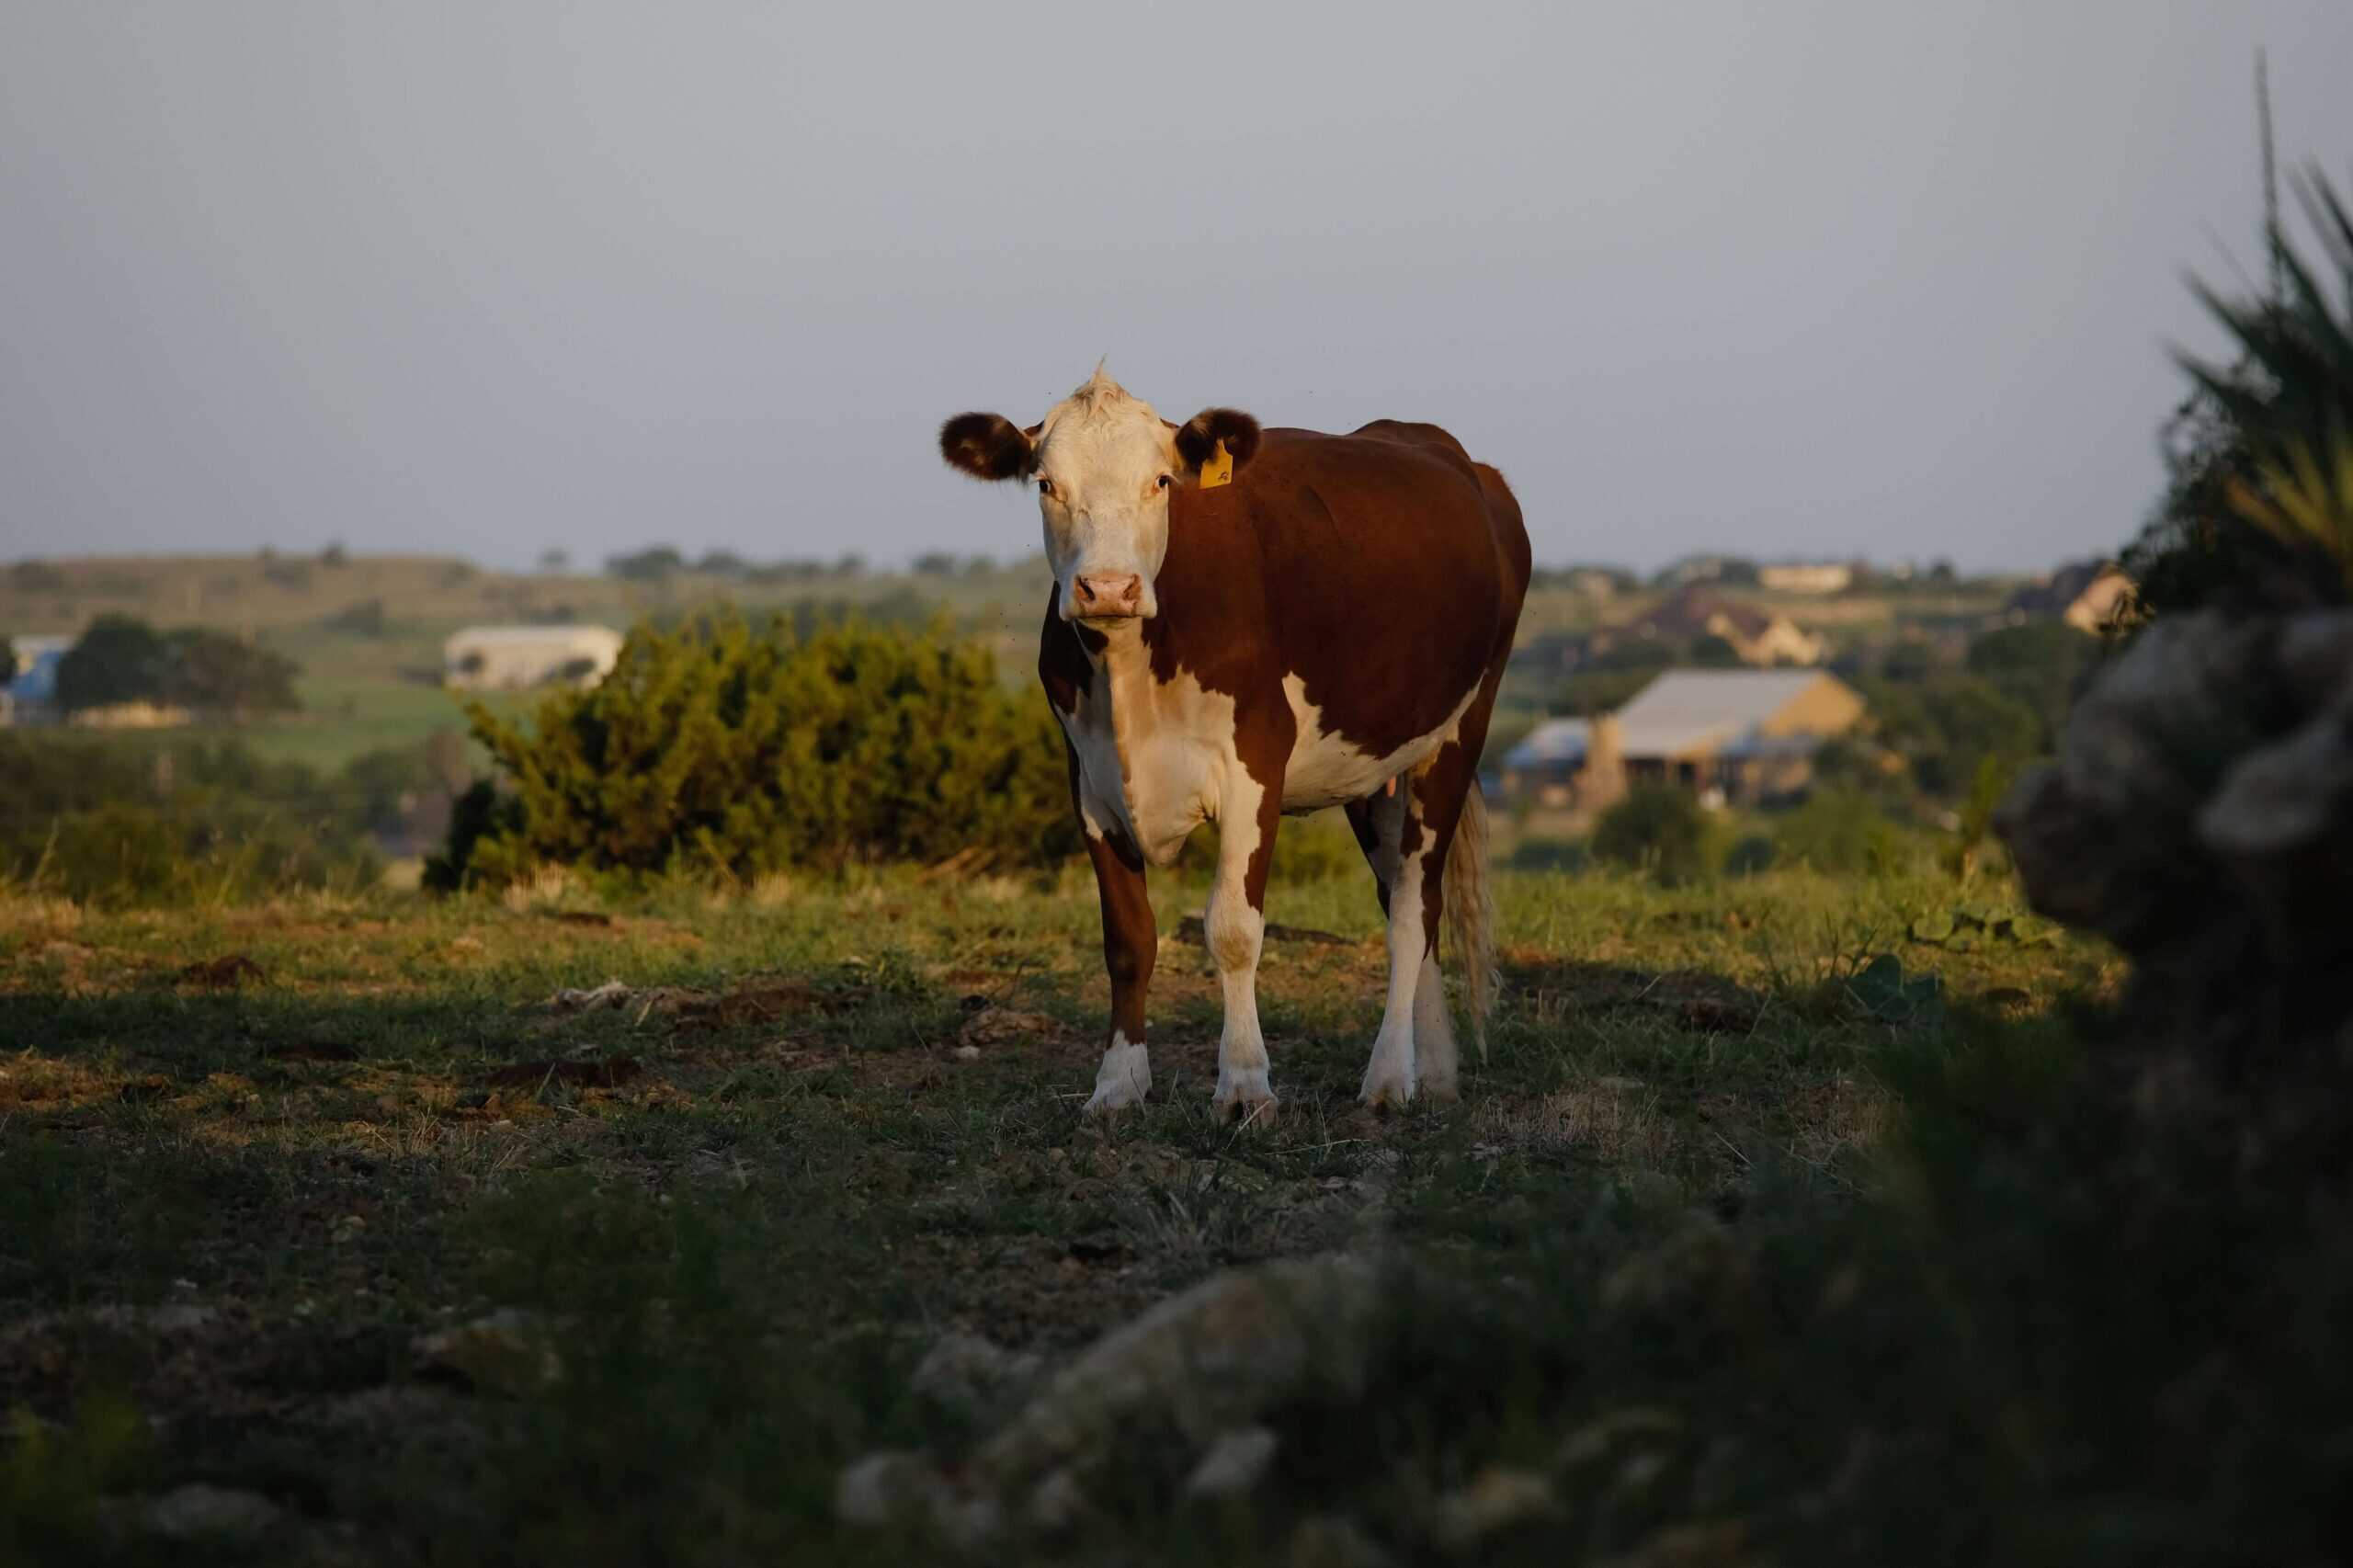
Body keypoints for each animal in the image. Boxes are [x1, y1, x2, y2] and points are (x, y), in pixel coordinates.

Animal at [939, 367, 1530, 1123]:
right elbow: (1127, 939)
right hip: (1375, 767)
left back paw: (1389, 1077)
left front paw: (1246, 1086)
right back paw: (1435, 1071)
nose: (1108, 587)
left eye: (1161, 480)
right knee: (1400, 897)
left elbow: (1232, 930)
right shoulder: (1090, 782)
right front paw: (1117, 1086)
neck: (1132, 672)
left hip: (1458, 734)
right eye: (1046, 484)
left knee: (1412, 911)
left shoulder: (1254, 767)